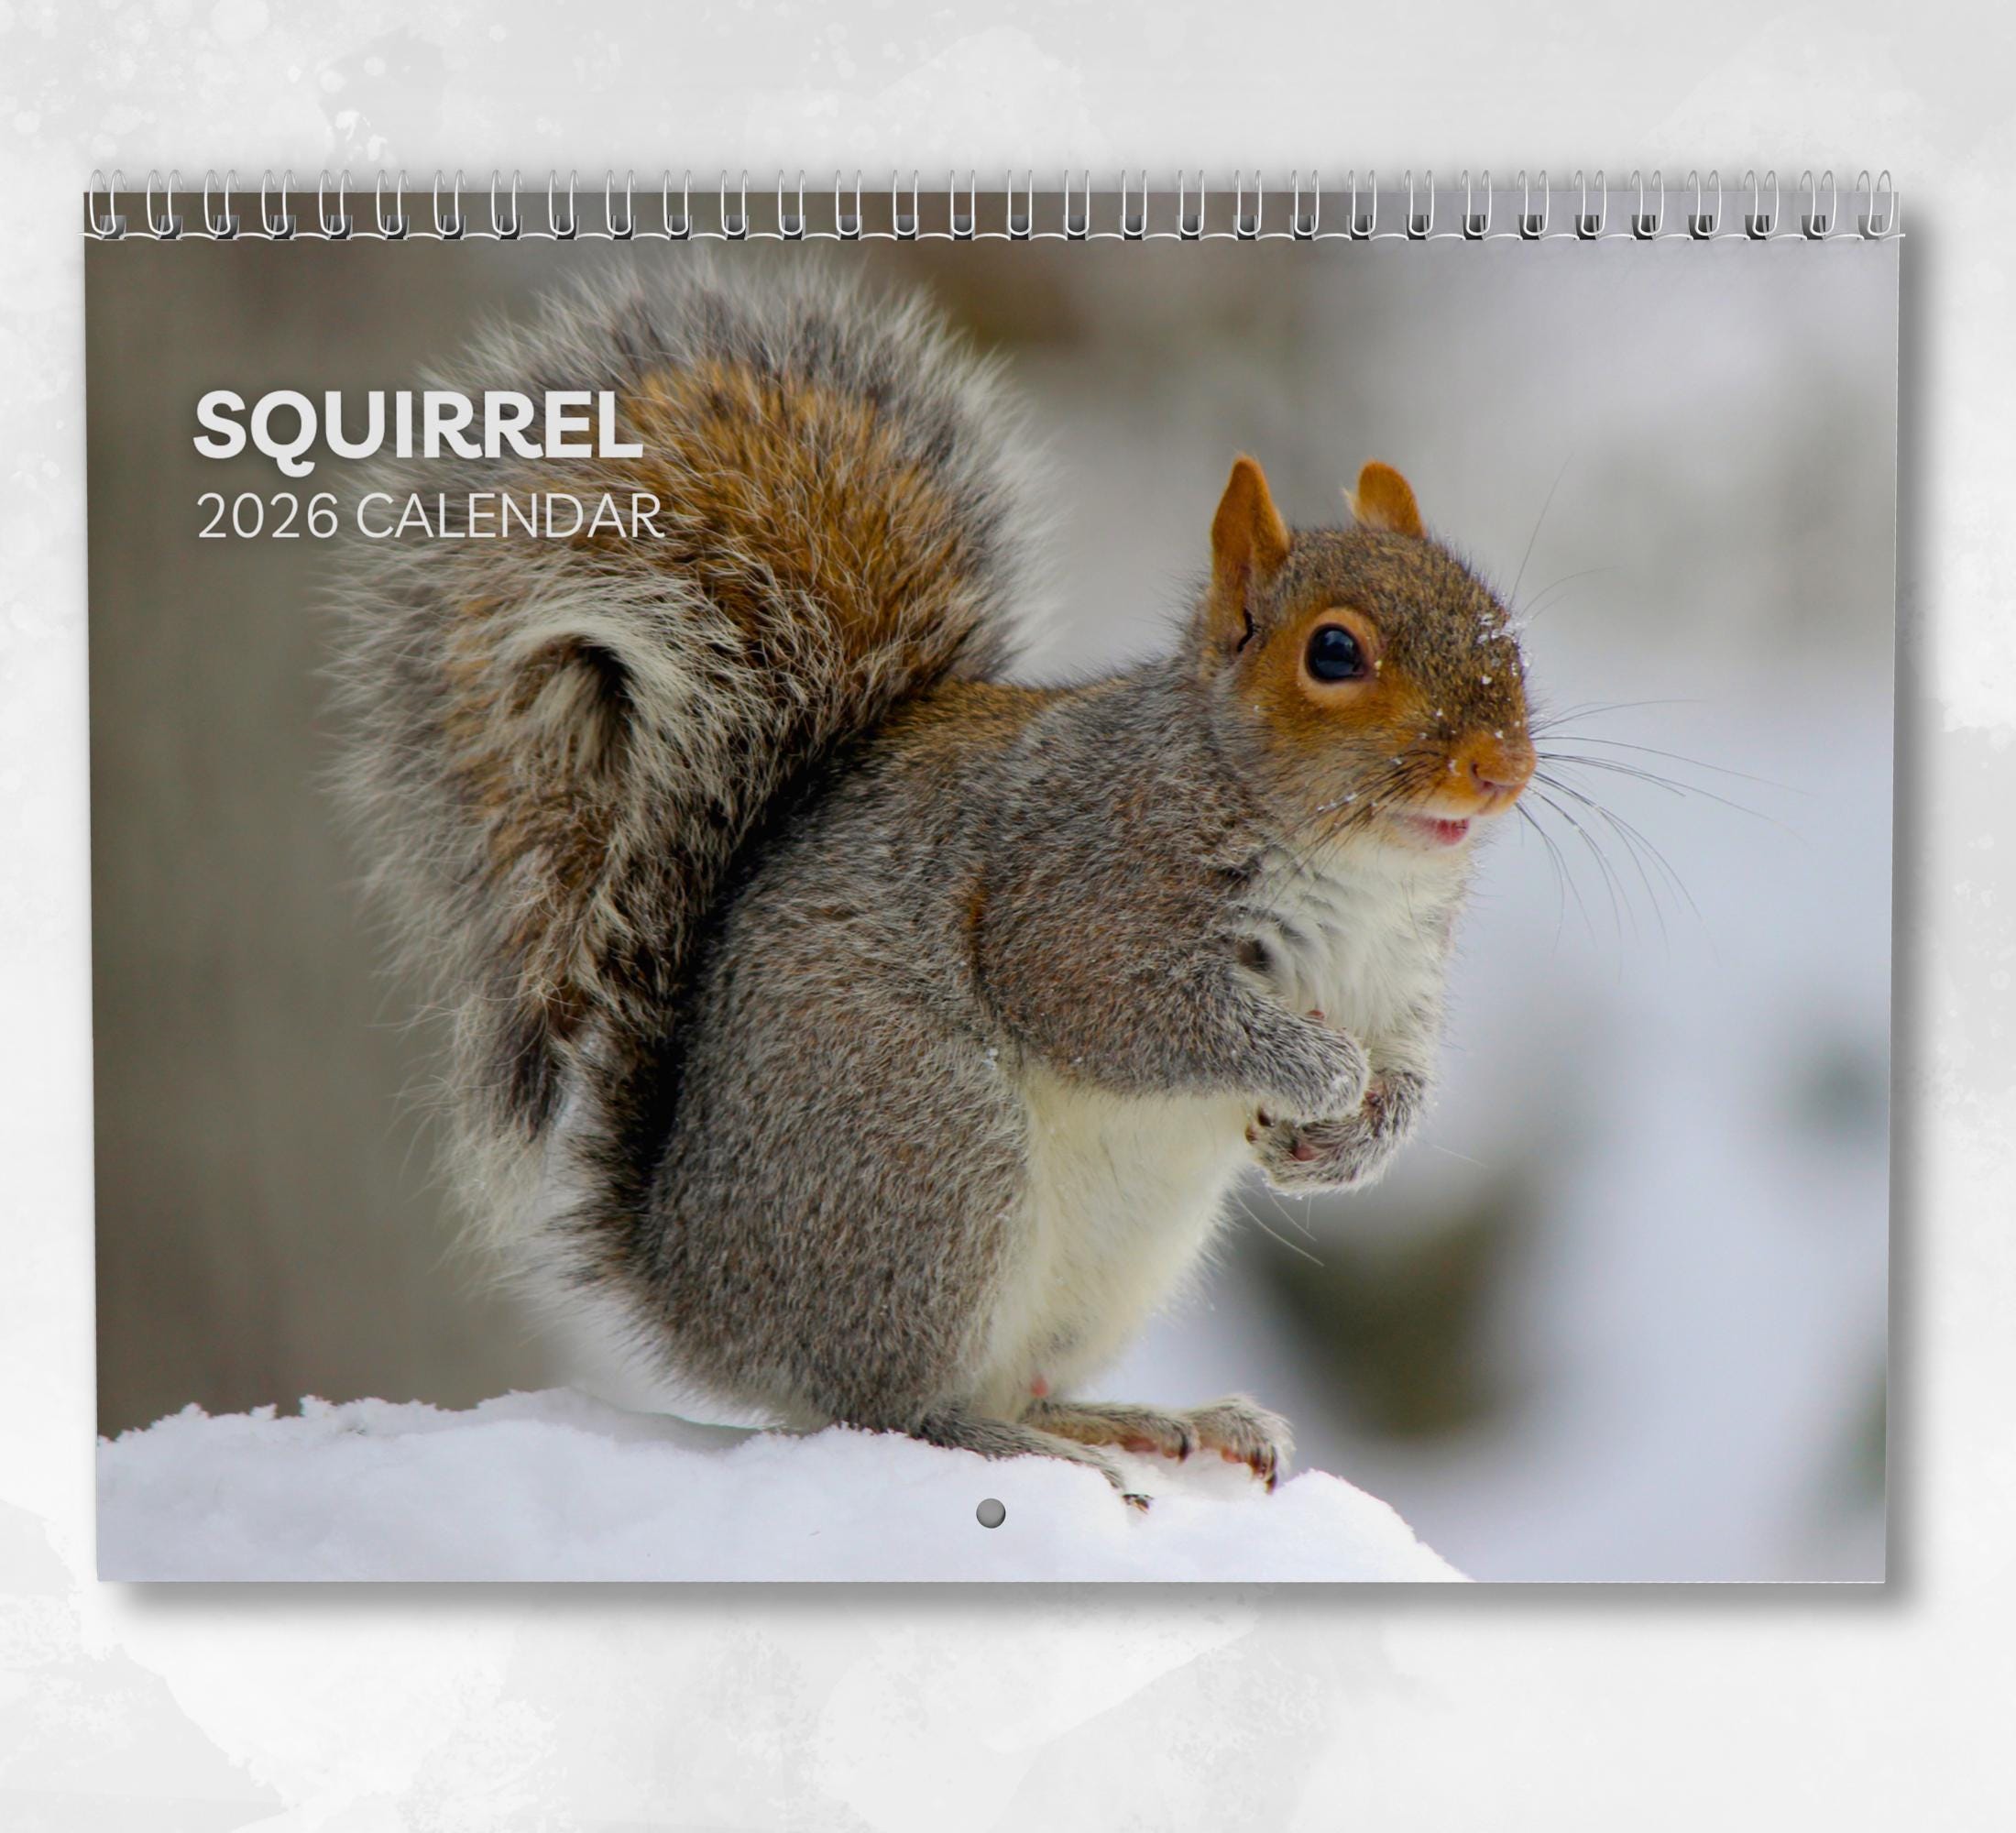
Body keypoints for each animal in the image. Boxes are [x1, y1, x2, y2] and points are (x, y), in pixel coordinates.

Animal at [335, 259, 1536, 1508]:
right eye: (1333, 652)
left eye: (1500, 619)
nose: (1502, 765)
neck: (1352, 864)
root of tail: (697, 1294)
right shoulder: (1080, 897)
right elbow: (1136, 1015)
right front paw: (1317, 1072)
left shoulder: (1397, 969)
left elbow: (1407, 1067)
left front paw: (1356, 1139)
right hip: (931, 1154)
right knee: (894, 1404)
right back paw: (1029, 1445)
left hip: (1100, 1260)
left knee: (1014, 1380)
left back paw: (1158, 1418)